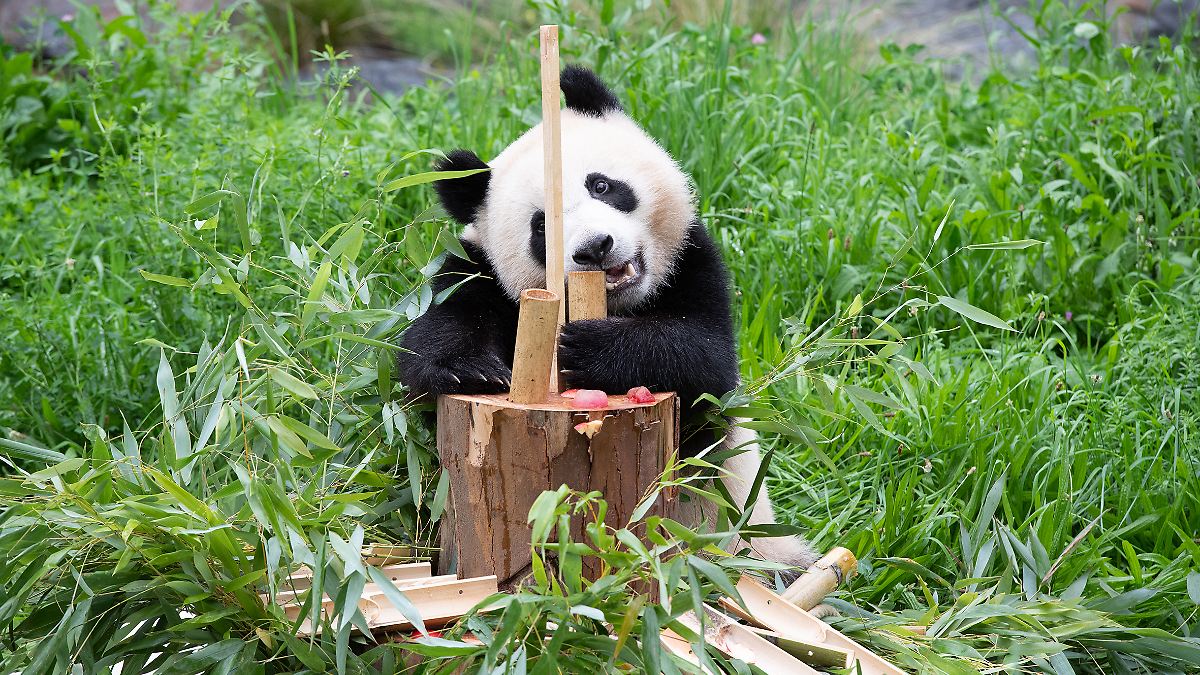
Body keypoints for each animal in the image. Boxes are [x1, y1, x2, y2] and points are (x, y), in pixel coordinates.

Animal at [397, 65, 817, 573]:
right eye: (541, 226)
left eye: (601, 186)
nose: (596, 247)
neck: (623, 305)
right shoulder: (476, 271)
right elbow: (432, 338)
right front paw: (469, 368)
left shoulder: (693, 263)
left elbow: (705, 358)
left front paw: (587, 348)